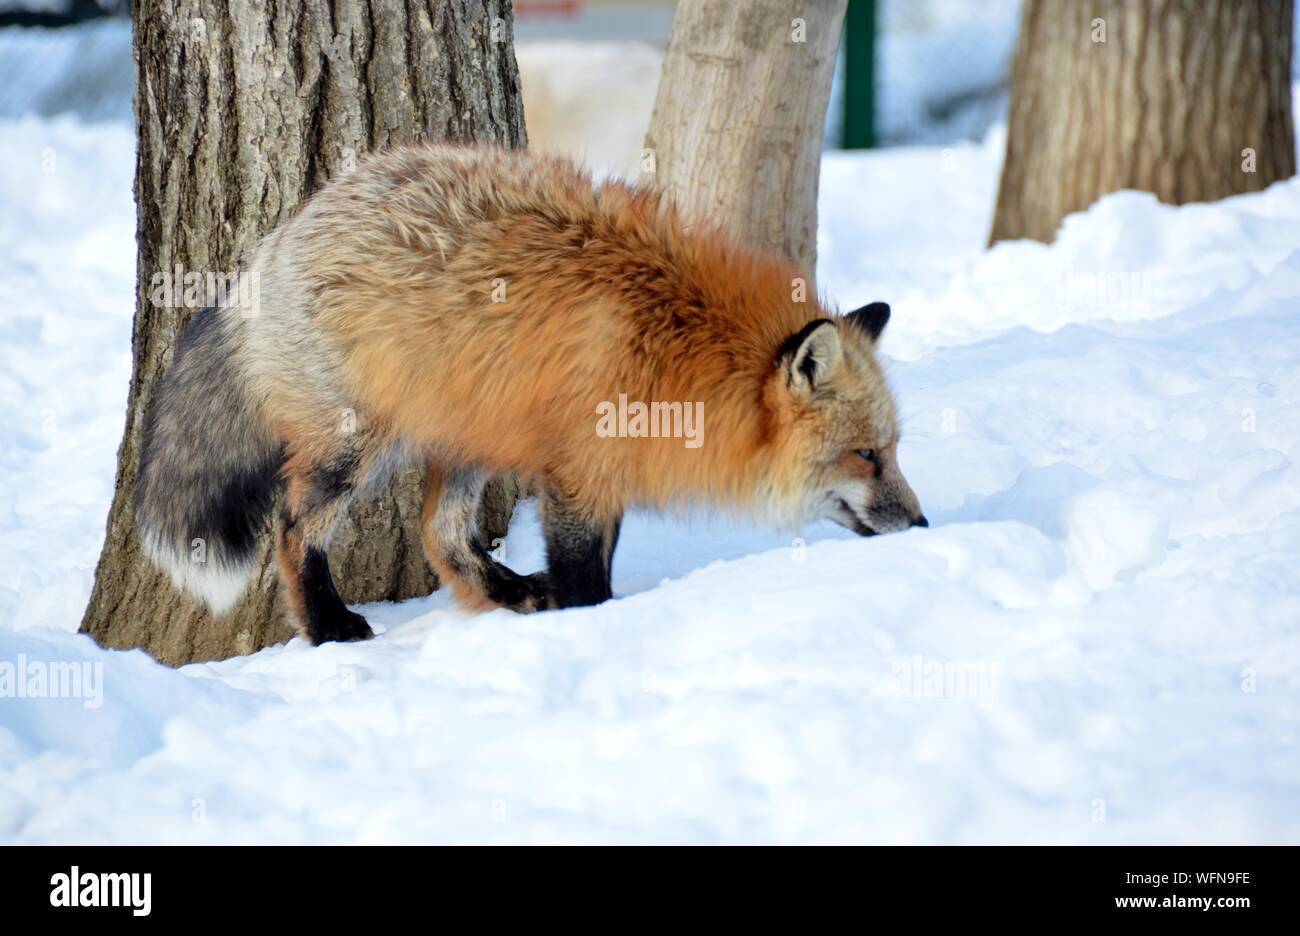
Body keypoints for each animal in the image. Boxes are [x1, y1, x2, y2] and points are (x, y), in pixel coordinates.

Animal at [135, 143, 927, 644]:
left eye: (893, 449)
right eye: (865, 455)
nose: (922, 525)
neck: (680, 342)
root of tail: (280, 238)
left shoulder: (605, 468)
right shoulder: (576, 469)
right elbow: (584, 574)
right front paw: (588, 626)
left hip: (469, 432)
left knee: (441, 534)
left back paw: (507, 593)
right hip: (355, 445)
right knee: (295, 525)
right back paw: (329, 627)